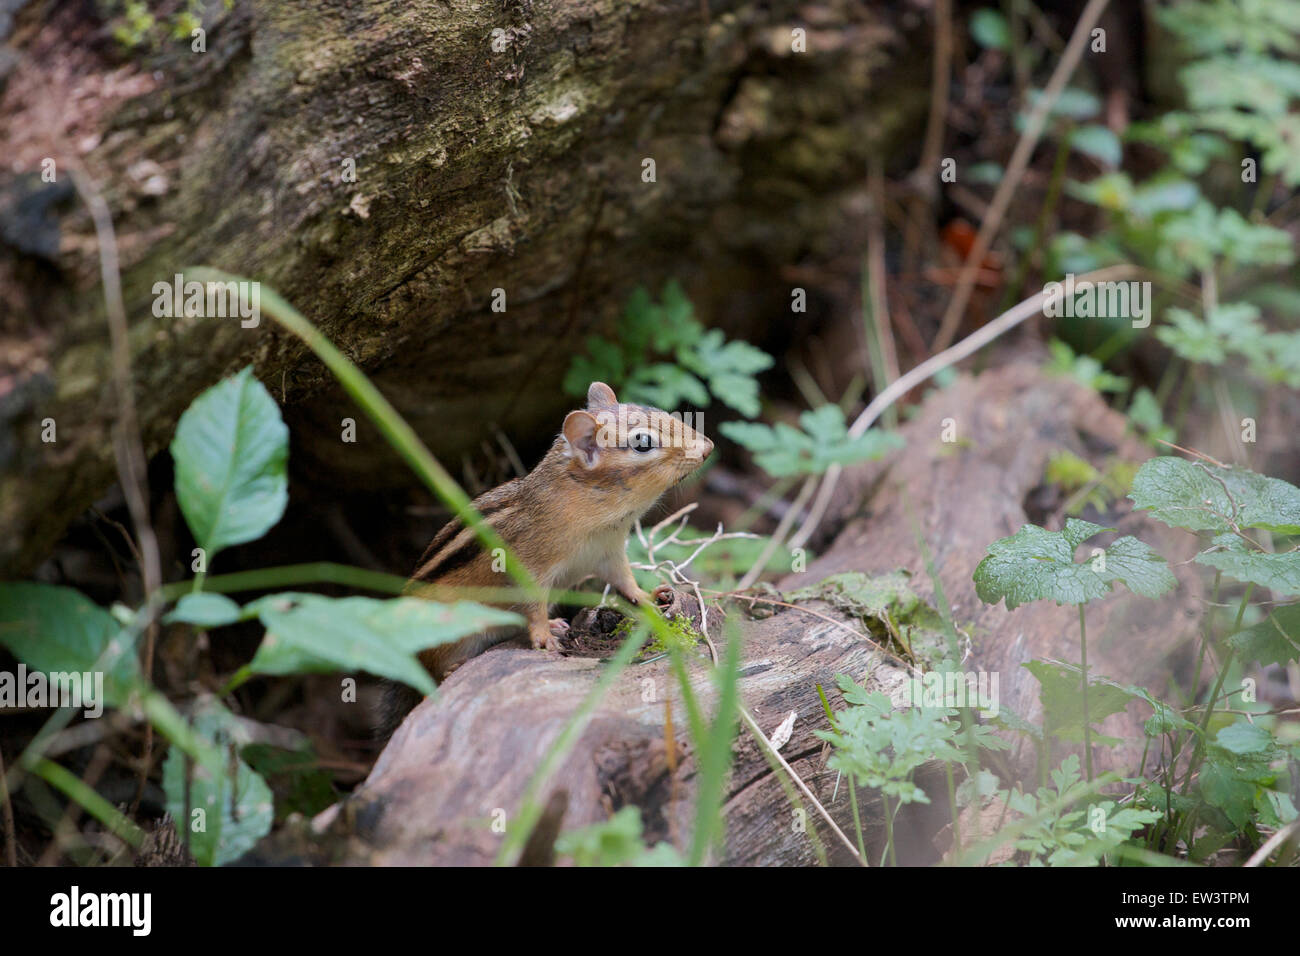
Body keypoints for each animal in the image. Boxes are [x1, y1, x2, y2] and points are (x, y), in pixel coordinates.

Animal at [377, 381, 713, 736]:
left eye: (661, 412)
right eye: (643, 443)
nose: (707, 447)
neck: (596, 514)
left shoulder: (609, 553)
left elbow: (625, 580)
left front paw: (649, 596)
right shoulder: (529, 565)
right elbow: (532, 602)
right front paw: (542, 636)